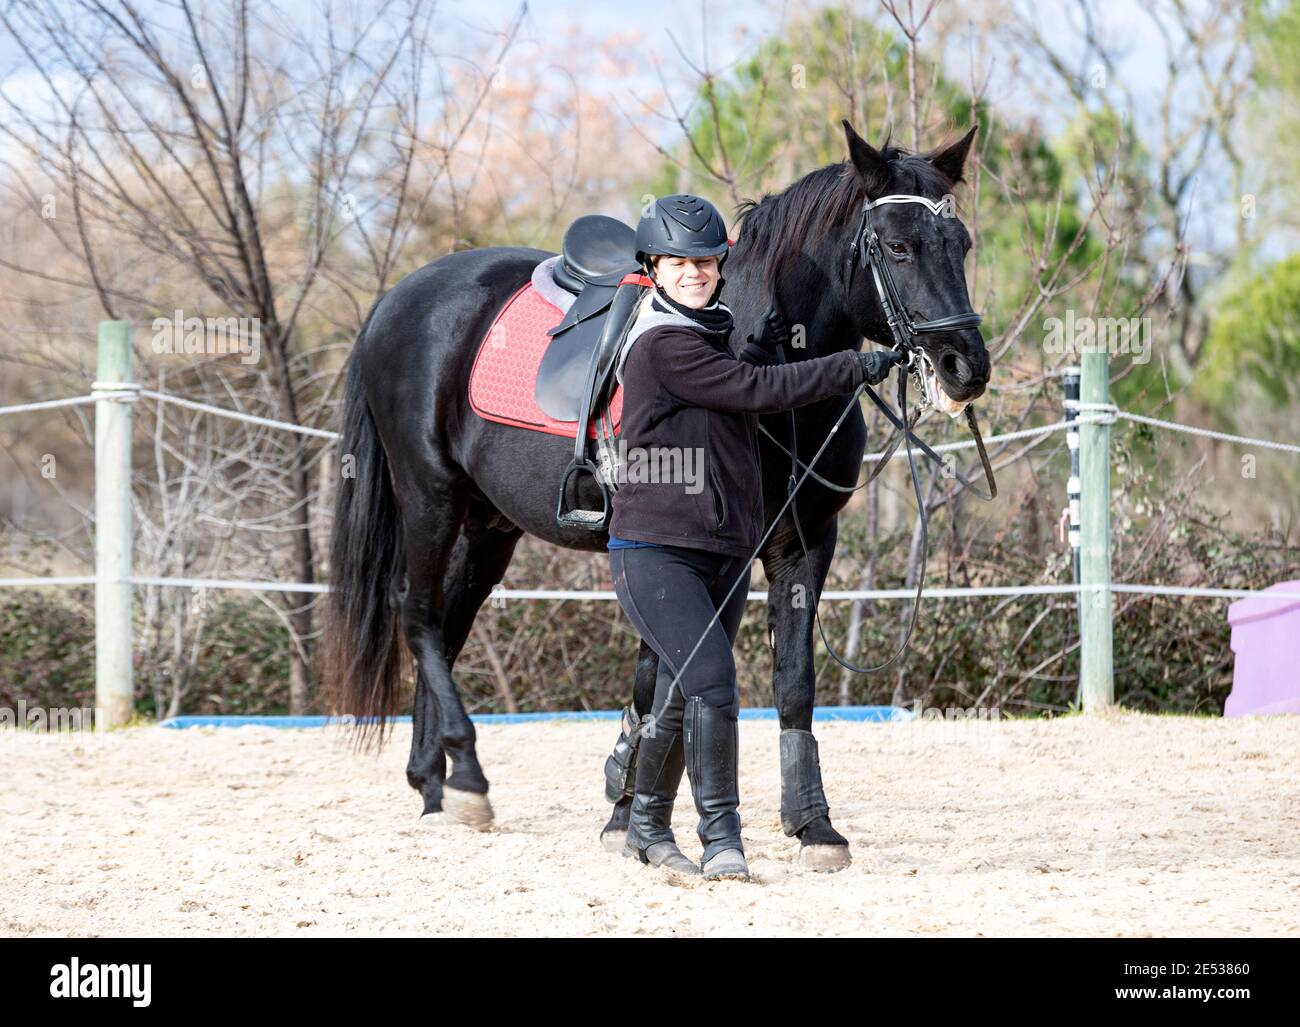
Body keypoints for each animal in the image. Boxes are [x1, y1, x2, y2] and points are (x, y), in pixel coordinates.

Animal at [323, 119, 991, 870]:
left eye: (960, 244)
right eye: (899, 247)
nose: (966, 367)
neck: (769, 367)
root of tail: (398, 299)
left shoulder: (803, 544)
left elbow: (787, 683)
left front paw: (811, 826)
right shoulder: (707, 554)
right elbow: (671, 675)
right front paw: (632, 810)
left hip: (489, 524)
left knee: (446, 622)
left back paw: (433, 784)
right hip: (431, 495)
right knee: (418, 614)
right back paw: (464, 774)